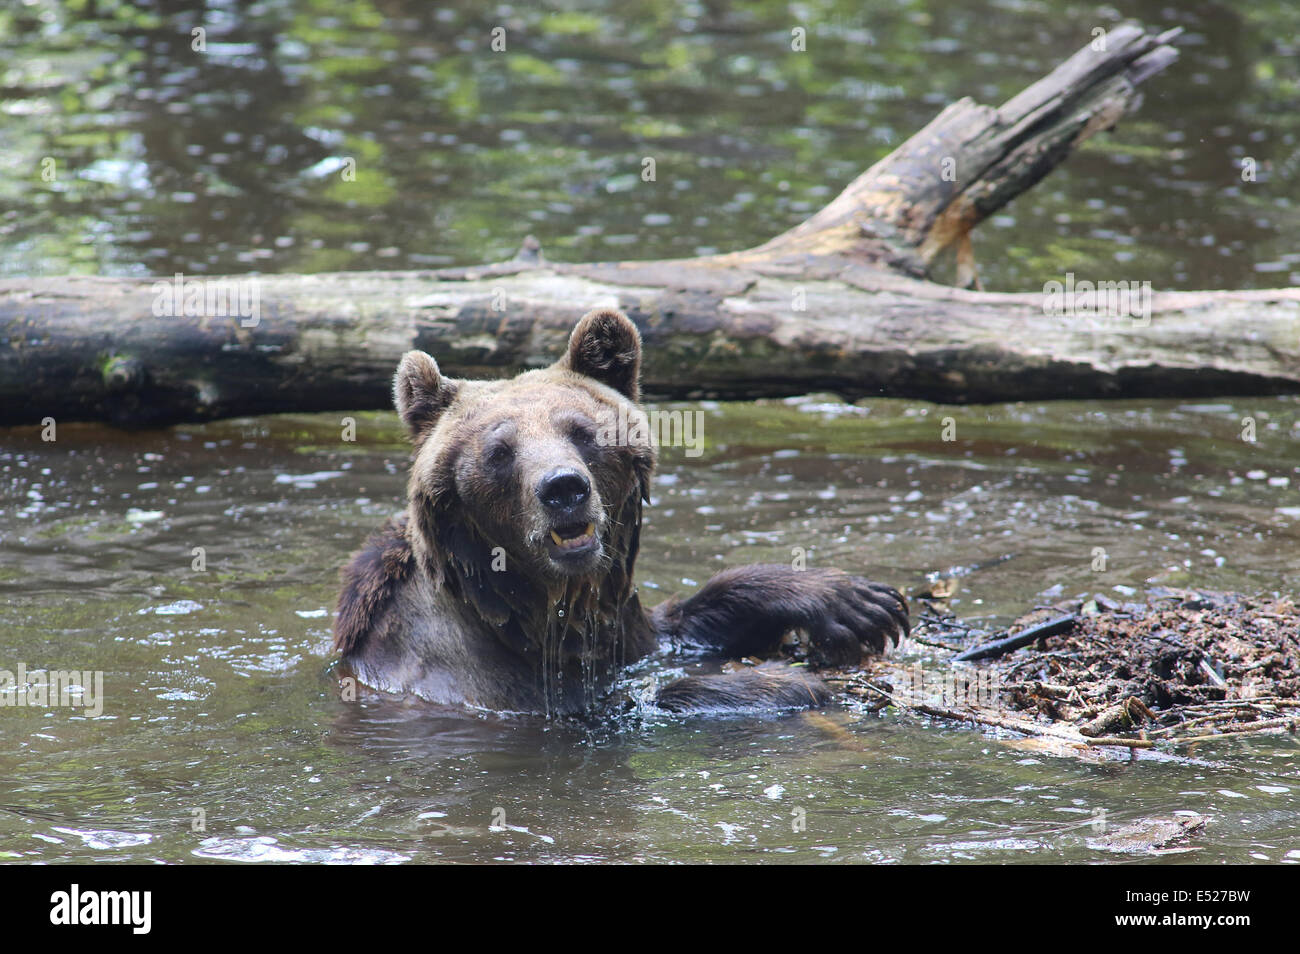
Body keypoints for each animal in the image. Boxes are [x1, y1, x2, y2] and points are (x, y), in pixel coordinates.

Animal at [333, 308, 909, 716]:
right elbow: (631, 703)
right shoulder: (475, 680)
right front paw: (783, 681)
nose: (563, 487)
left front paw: (857, 602)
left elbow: (686, 620)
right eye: (499, 451)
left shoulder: (626, 631)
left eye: (582, 431)